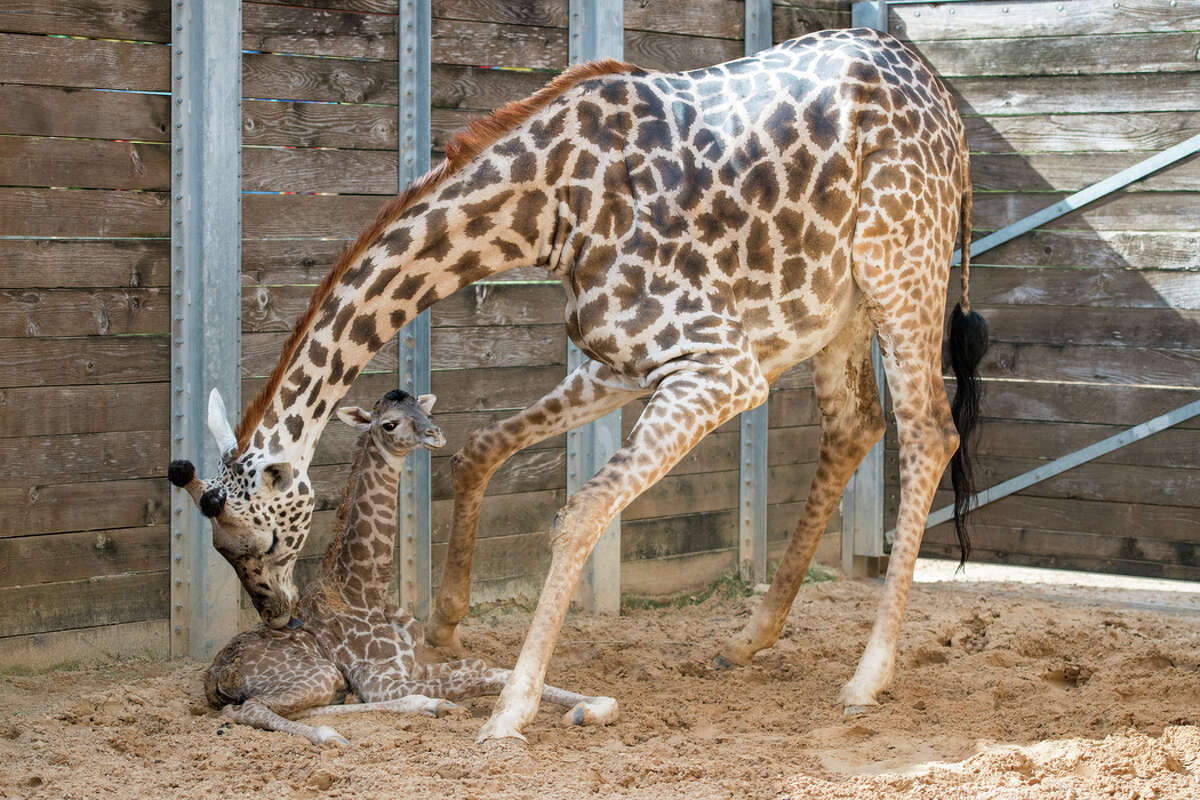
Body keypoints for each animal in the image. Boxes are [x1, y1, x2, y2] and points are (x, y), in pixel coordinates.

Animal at [190, 390, 618, 747]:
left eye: (423, 408)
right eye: (389, 424)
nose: (435, 433)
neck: (363, 590)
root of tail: (215, 675)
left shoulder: (413, 664)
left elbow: (493, 670)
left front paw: (594, 706)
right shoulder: (379, 678)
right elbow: (482, 677)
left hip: (328, 681)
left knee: (294, 707)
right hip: (318, 674)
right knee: (247, 708)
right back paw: (341, 733)